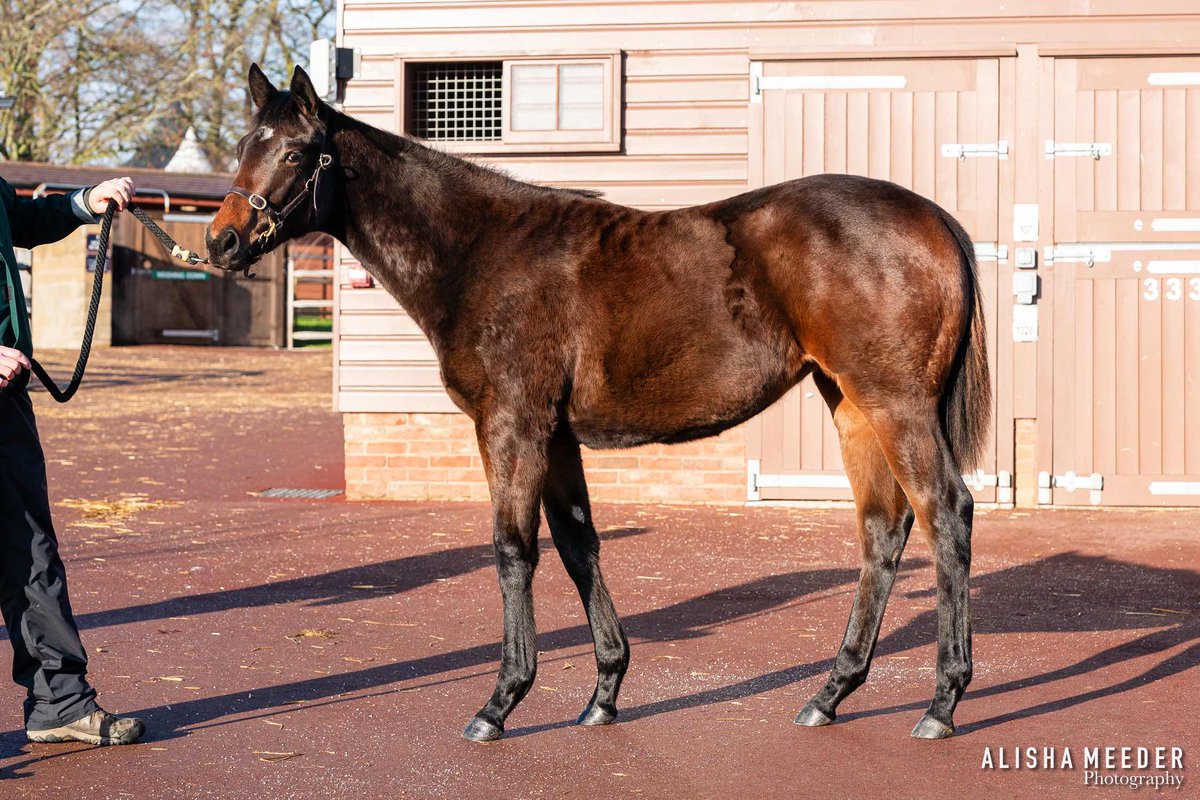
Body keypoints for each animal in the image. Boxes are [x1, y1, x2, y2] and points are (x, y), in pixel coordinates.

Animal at [207, 64, 991, 742]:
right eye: (244, 147)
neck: (482, 252)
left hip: (895, 404)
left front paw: (501, 702)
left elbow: (514, 549)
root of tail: (935, 219)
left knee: (945, 513)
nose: (222, 241)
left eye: (293, 152)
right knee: (883, 529)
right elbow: (579, 544)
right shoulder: (556, 437)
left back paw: (942, 701)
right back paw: (830, 694)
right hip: (851, 403)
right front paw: (604, 692)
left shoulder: (512, 427)